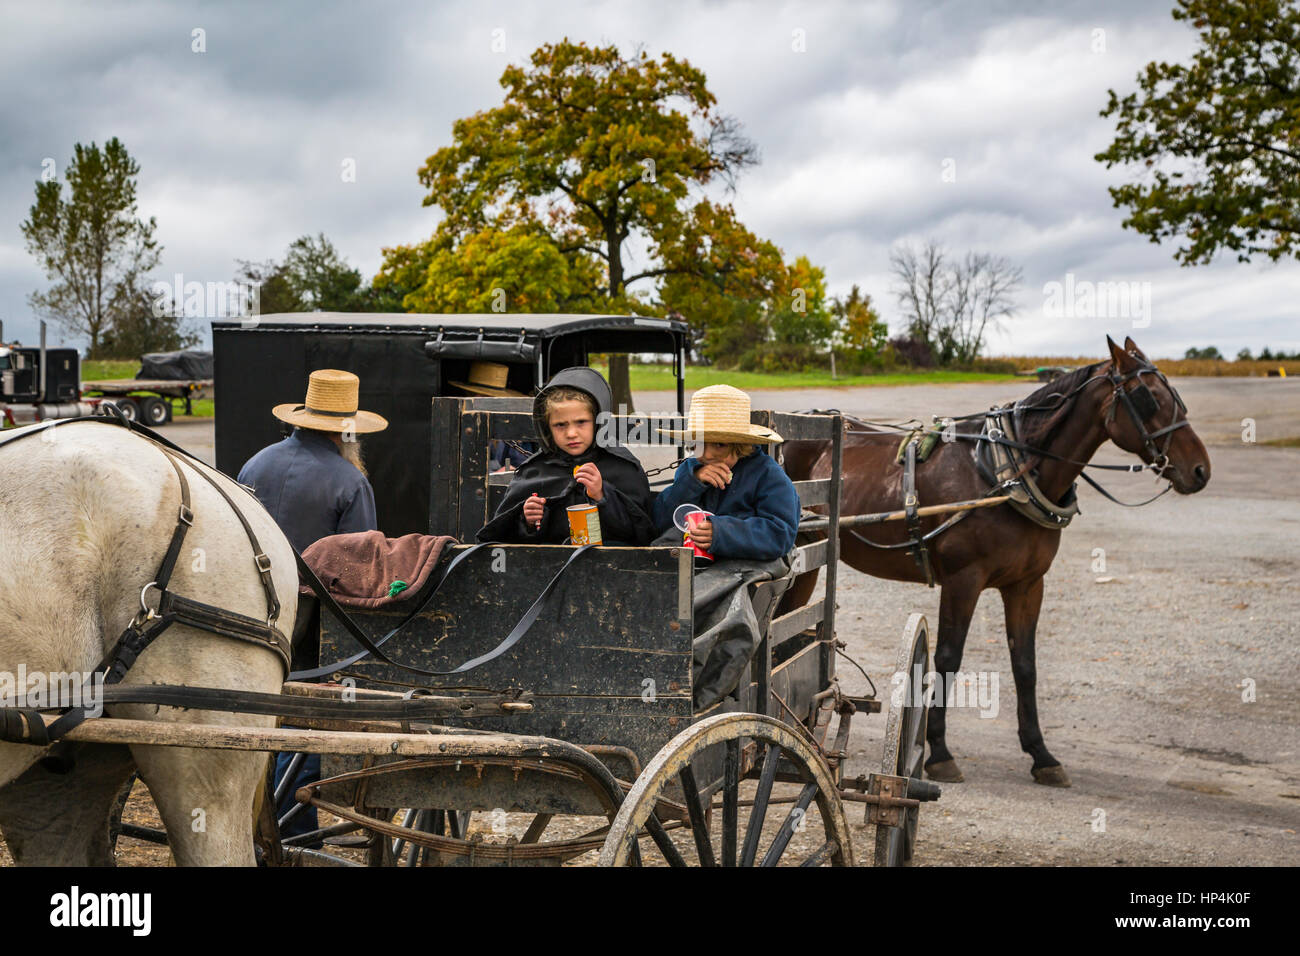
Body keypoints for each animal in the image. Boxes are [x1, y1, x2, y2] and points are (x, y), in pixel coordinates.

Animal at [779, 336, 1211, 787]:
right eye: (1149, 397)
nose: (1200, 470)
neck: (1005, 472)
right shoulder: (962, 580)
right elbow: (947, 658)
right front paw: (939, 752)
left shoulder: (1028, 584)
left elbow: (1025, 665)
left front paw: (1041, 754)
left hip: (809, 562)